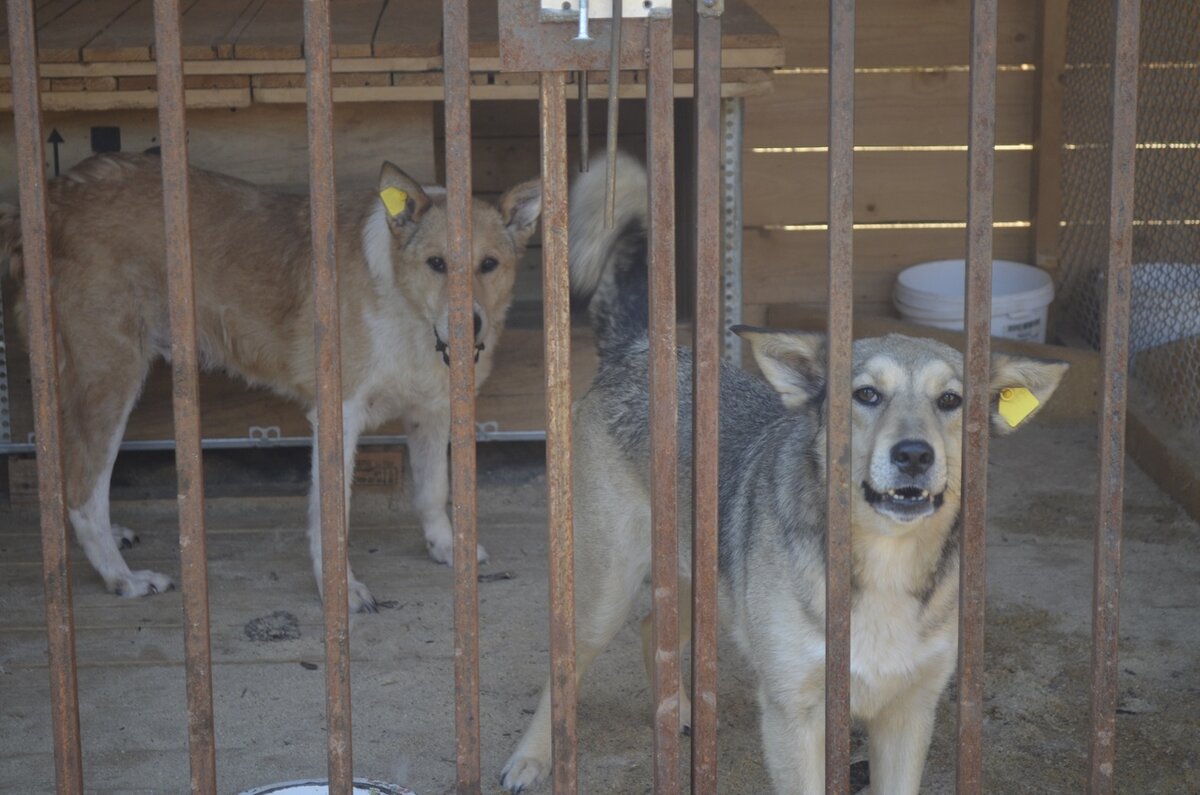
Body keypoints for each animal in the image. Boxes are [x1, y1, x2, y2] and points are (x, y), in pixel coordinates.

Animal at [1, 152, 540, 612]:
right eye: (437, 264)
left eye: (489, 265)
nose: (469, 326)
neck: (407, 306)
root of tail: (52, 195)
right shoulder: (339, 414)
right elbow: (332, 516)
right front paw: (341, 590)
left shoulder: (432, 411)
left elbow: (433, 490)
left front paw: (448, 548)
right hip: (110, 375)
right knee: (82, 490)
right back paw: (123, 578)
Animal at [501, 152, 1065, 792]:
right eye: (865, 394)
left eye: (950, 401)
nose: (914, 455)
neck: (883, 562)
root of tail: (642, 348)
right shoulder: (794, 715)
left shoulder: (909, 716)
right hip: (606, 591)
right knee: (565, 662)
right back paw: (532, 759)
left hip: (697, 579)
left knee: (651, 631)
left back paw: (683, 713)